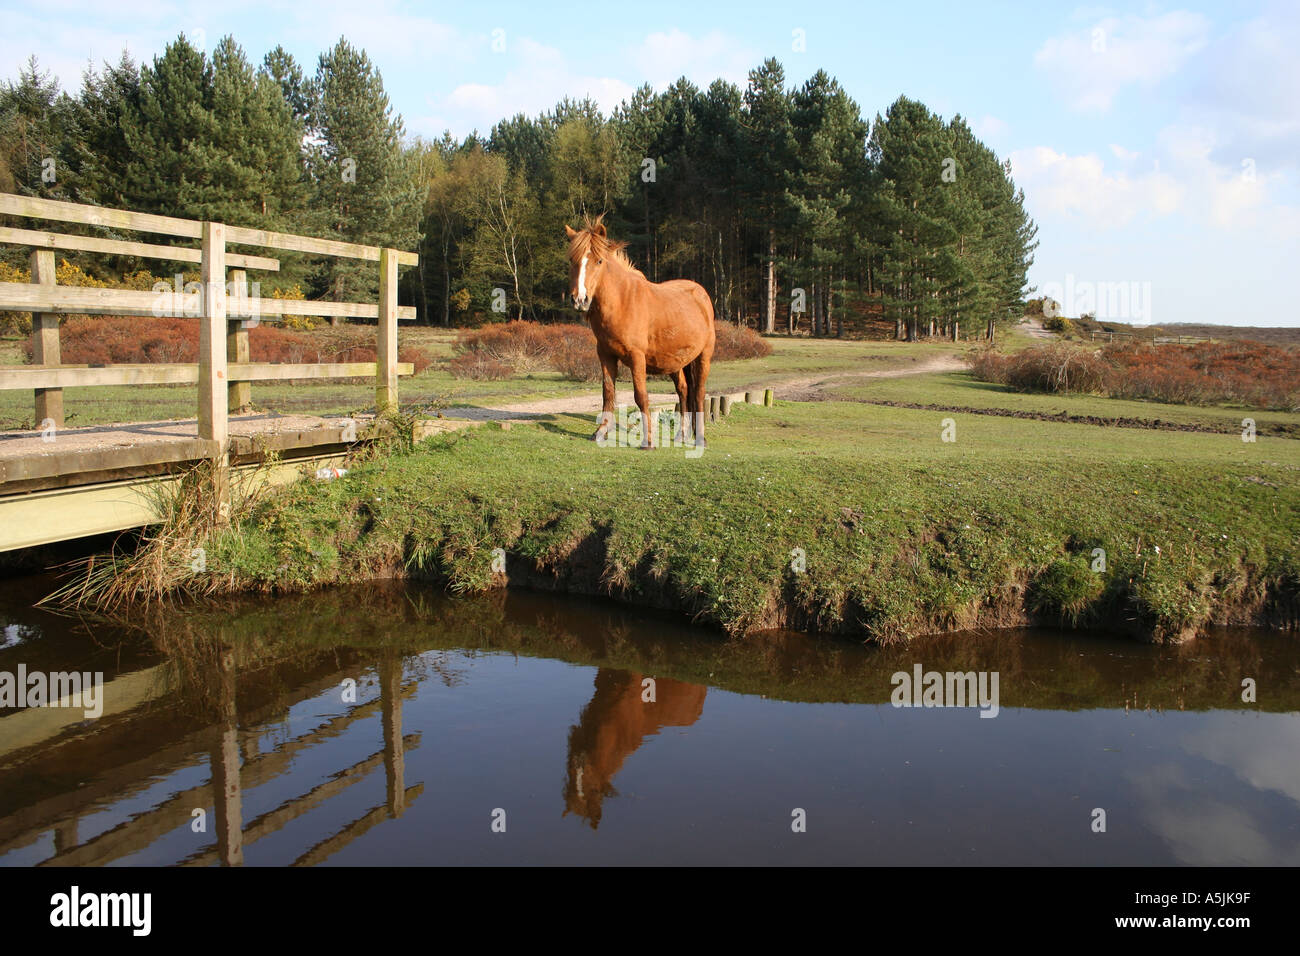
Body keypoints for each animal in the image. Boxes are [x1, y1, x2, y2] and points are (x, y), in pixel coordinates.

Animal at [565, 216, 715, 448]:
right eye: (572, 260)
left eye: (599, 261)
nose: (580, 299)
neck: (622, 303)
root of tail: (701, 294)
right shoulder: (605, 355)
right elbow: (608, 392)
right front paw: (600, 432)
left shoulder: (637, 357)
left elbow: (641, 396)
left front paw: (648, 440)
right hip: (675, 362)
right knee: (683, 391)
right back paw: (681, 435)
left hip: (703, 357)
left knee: (698, 393)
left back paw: (700, 438)